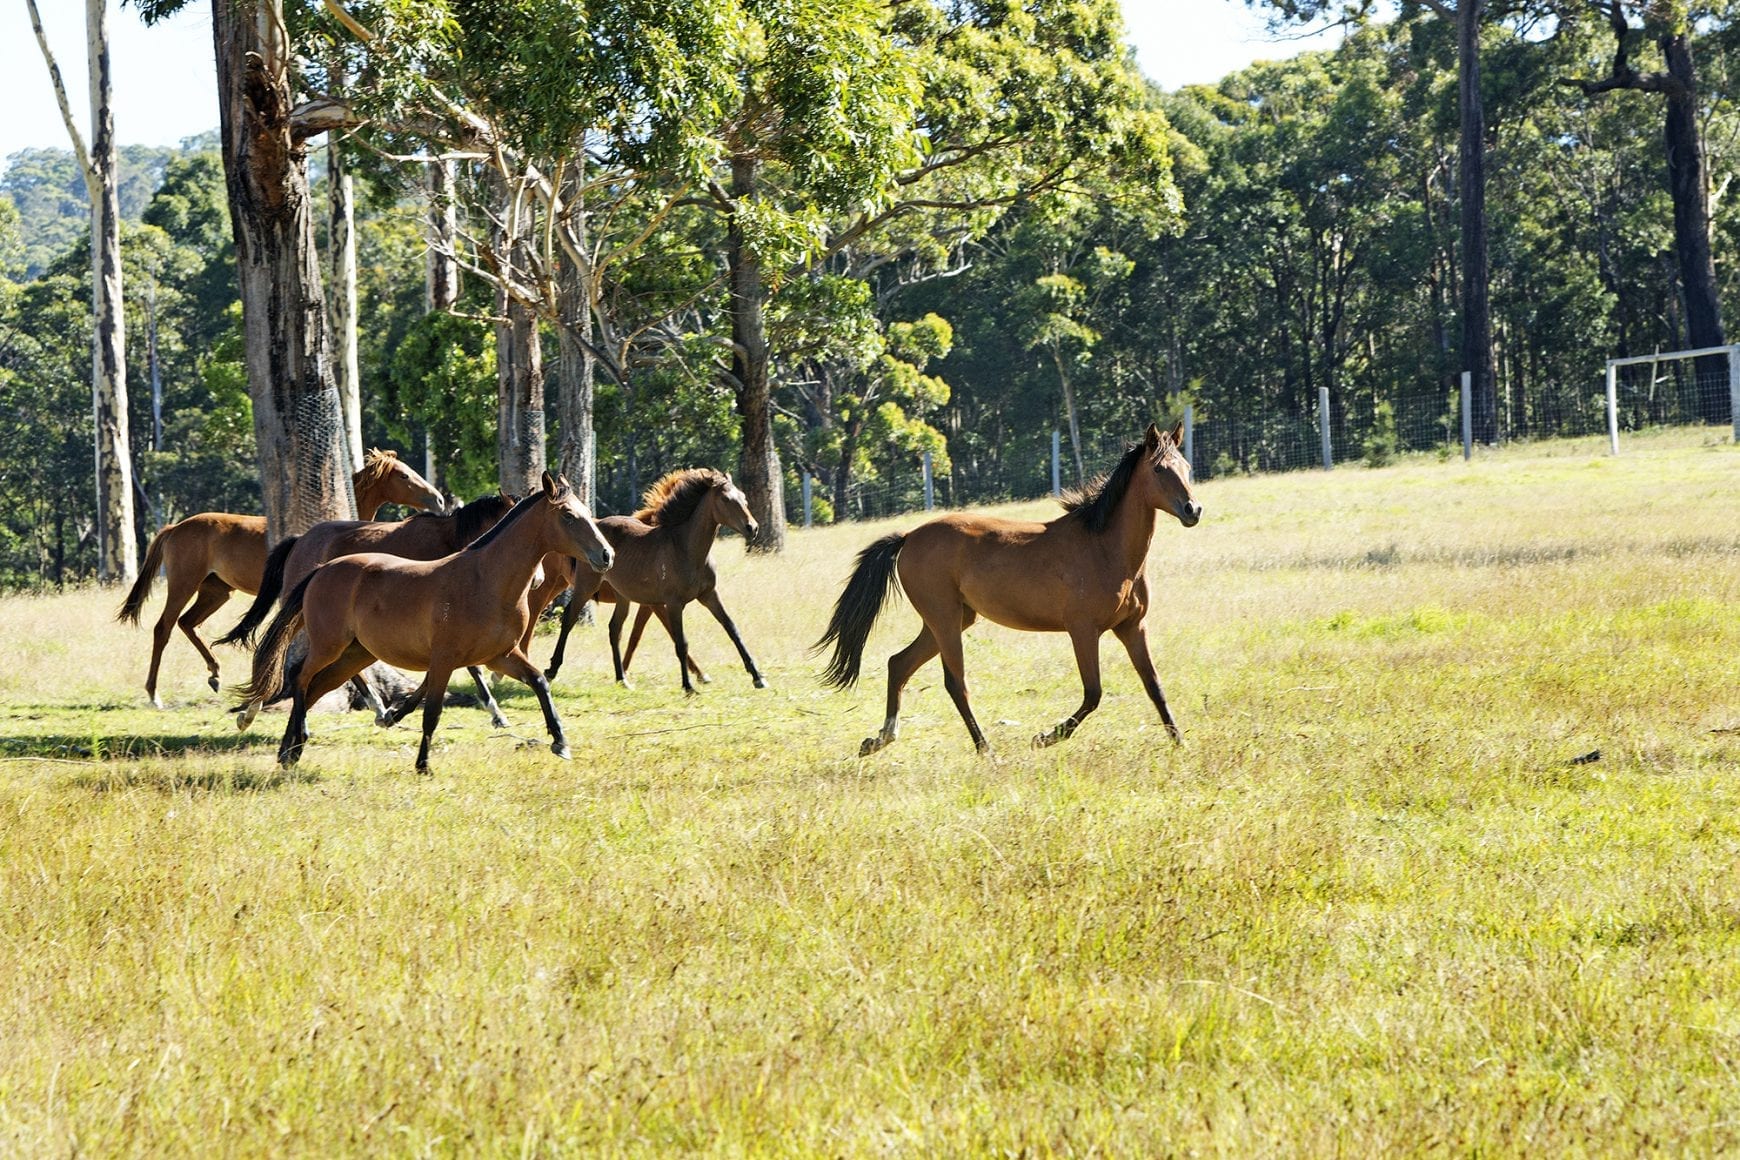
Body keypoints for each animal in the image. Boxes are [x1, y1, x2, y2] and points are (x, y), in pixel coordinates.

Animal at [116, 449, 446, 707]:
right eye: (403, 476)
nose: (440, 501)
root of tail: (174, 528)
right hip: (184, 583)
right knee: (164, 627)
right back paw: (154, 694)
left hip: (216, 591)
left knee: (187, 623)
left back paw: (215, 674)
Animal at [220, 493, 519, 731]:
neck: (453, 541)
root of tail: (298, 540)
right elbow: (472, 667)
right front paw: (496, 713)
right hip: (306, 614)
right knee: (278, 649)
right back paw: (252, 710)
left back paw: (377, 708)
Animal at [539, 468, 765, 695]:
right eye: (726, 499)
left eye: (744, 498)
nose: (752, 528)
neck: (686, 550)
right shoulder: (673, 604)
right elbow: (681, 642)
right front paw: (688, 686)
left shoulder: (709, 595)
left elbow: (732, 630)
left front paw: (758, 677)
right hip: (586, 586)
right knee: (569, 617)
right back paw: (552, 669)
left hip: (622, 595)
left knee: (615, 628)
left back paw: (622, 679)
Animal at [815, 422, 1201, 755]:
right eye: (1159, 469)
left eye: (1186, 466)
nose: (1193, 510)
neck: (1105, 548)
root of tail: (908, 537)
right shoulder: (1083, 630)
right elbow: (1093, 693)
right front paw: (1045, 737)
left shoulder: (1133, 627)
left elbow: (1155, 687)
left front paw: (1180, 743)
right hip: (944, 619)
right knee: (955, 682)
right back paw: (986, 750)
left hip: (952, 620)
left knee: (899, 664)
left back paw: (879, 740)